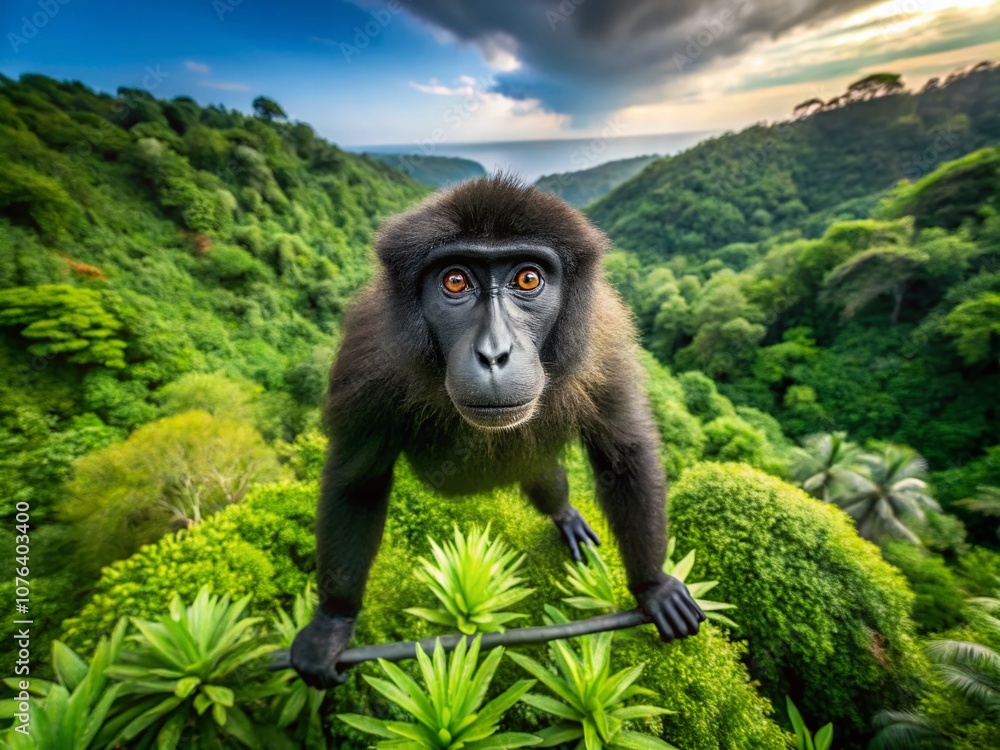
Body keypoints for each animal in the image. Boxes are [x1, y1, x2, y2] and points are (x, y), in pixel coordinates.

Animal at [290, 175, 705, 688]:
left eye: (528, 279)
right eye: (455, 281)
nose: (493, 353)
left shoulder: (603, 341)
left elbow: (624, 455)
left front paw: (653, 586)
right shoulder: (369, 351)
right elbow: (358, 483)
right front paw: (332, 621)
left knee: (546, 477)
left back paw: (564, 515)